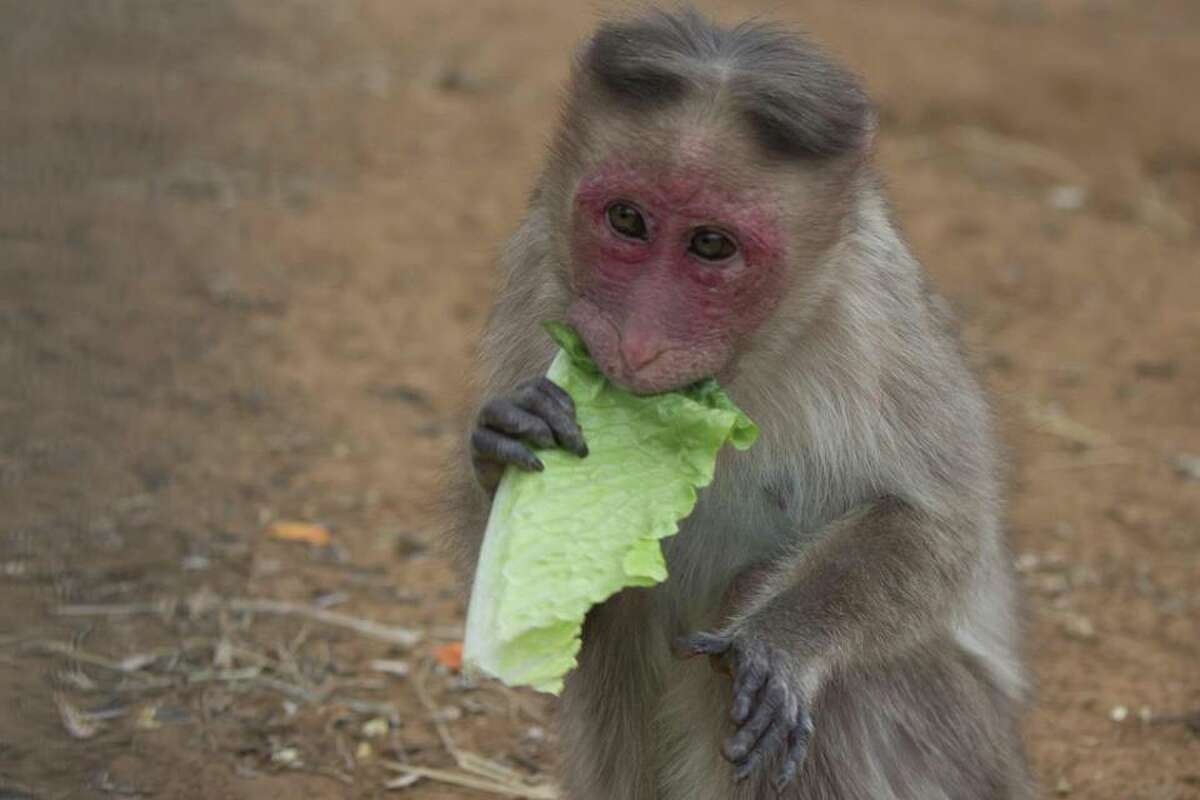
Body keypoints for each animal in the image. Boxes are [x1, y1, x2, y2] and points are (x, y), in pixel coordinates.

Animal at [450, 9, 1033, 800]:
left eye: (711, 245)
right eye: (627, 220)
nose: (636, 342)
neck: (743, 367)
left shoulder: (878, 320)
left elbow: (938, 529)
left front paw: (780, 646)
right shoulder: (538, 273)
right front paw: (504, 439)